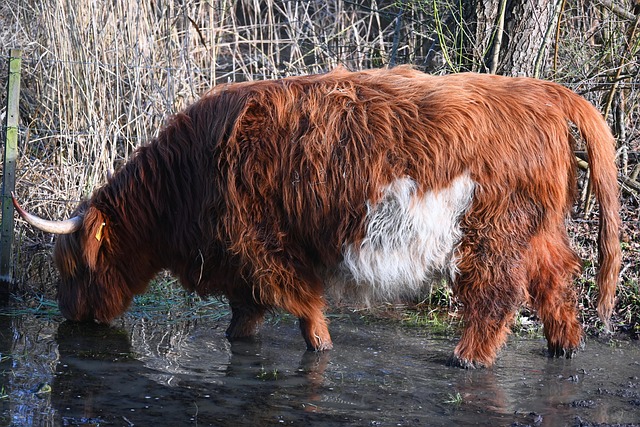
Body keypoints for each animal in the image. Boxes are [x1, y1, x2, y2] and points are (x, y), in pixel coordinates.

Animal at [14, 66, 621, 368]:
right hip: (537, 230)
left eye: (75, 267)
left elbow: (298, 303)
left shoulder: (262, 243)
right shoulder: (243, 257)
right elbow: (247, 310)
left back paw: (468, 359)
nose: (71, 314)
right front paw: (241, 338)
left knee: (497, 294)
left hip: (491, 231)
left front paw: (320, 346)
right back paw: (564, 347)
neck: (186, 180)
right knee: (556, 282)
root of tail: (545, 94)